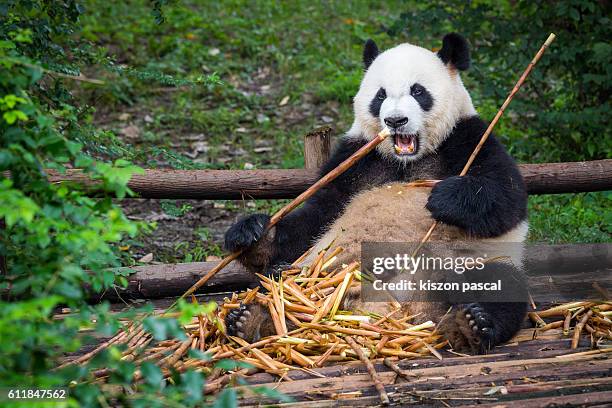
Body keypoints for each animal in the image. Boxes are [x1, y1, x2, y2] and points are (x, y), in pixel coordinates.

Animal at [222, 34, 528, 354]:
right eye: (380, 96)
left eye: (418, 91)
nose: (395, 120)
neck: (406, 161)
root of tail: (403, 312)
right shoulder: (355, 158)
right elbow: (317, 214)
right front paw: (252, 233)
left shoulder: (468, 137)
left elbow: (506, 198)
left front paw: (443, 198)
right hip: (319, 271)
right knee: (277, 282)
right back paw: (252, 320)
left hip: (471, 260)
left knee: (500, 284)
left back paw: (472, 324)